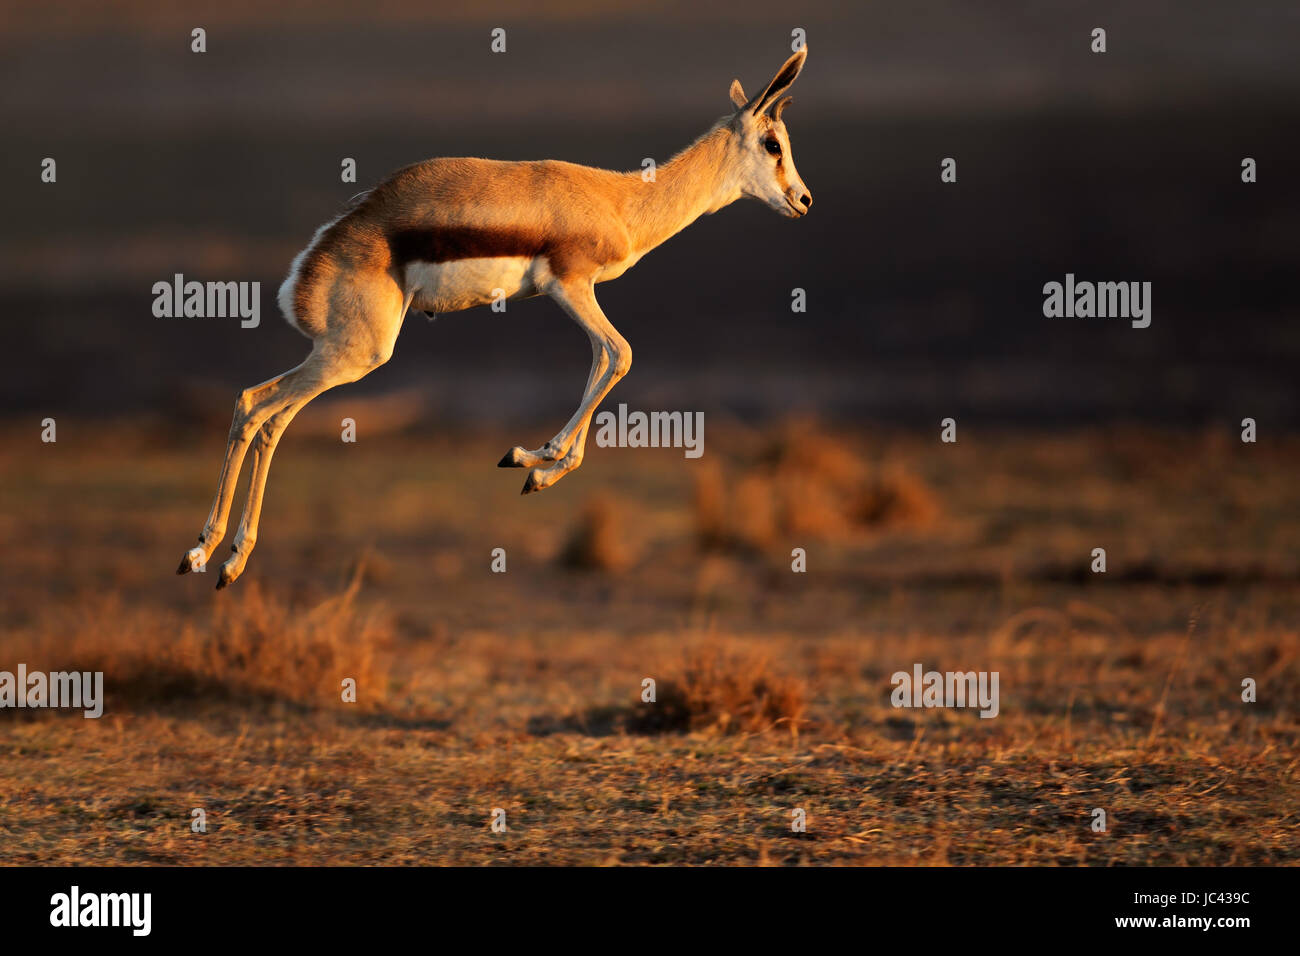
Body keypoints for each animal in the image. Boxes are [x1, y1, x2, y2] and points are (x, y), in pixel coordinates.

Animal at [178, 46, 812, 589]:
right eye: (772, 143)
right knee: (258, 406)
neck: (622, 201)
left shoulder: (574, 295)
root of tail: (321, 251)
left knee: (265, 413)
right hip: (358, 353)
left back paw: (215, 556)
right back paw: (214, 557)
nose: (803, 200)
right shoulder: (569, 287)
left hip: (338, 353)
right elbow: (620, 356)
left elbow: (599, 363)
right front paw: (536, 460)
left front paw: (533, 465)